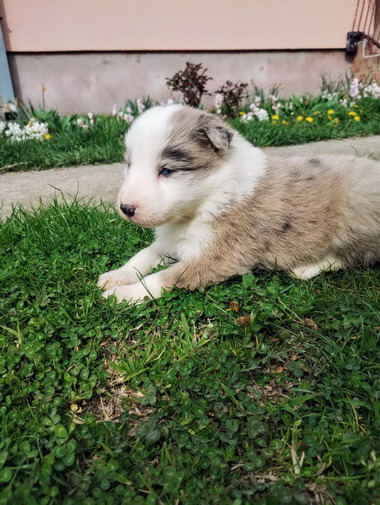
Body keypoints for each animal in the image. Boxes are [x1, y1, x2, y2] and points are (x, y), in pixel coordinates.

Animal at [97, 104, 380, 302]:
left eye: (167, 170)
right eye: (129, 164)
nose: (126, 209)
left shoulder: (219, 257)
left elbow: (163, 278)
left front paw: (122, 295)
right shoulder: (170, 242)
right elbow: (143, 255)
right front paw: (115, 276)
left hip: (355, 207)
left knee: (353, 256)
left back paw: (305, 268)